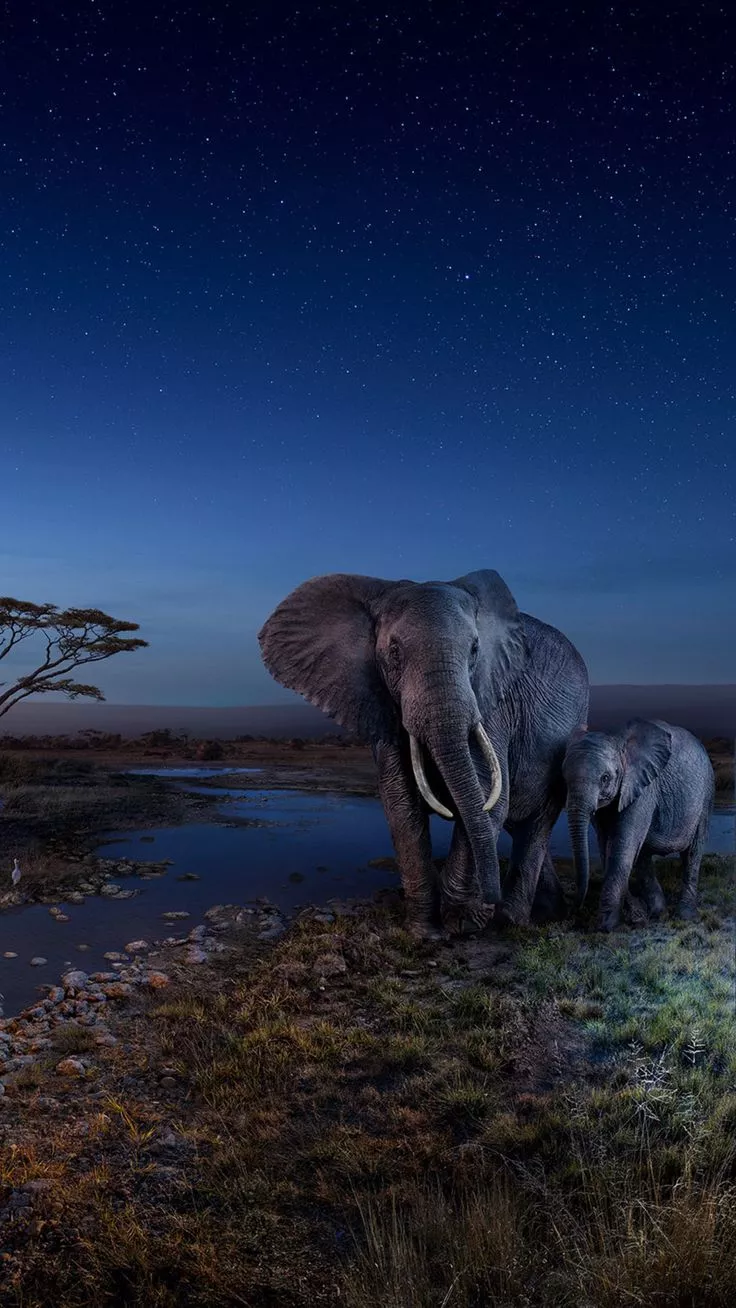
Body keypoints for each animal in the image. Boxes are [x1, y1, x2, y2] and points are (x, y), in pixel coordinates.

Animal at [258, 569, 590, 936]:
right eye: (394, 651)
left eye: (475, 649)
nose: (490, 898)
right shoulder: (382, 704)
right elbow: (401, 805)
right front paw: (424, 932)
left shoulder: (492, 702)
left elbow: (487, 798)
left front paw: (463, 925)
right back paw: (544, 914)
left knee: (536, 824)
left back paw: (510, 922)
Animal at [563, 718, 715, 933]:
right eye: (563, 778)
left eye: (605, 778)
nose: (572, 909)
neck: (618, 741)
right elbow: (606, 847)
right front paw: (637, 917)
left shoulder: (643, 789)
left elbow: (622, 848)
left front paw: (606, 927)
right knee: (643, 855)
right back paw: (658, 912)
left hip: (706, 795)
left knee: (693, 852)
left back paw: (685, 916)